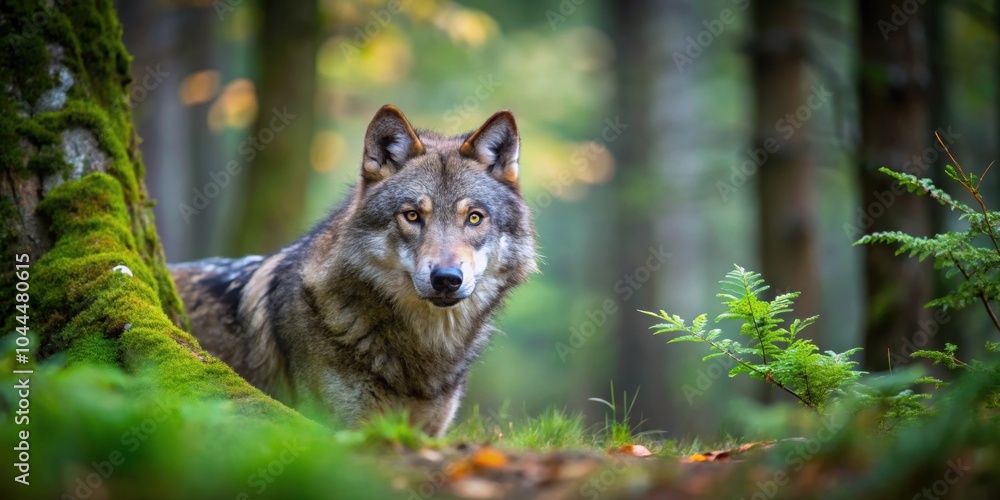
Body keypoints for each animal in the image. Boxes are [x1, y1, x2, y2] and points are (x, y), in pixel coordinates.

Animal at [170, 105, 537, 436]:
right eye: (412, 215)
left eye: (474, 217)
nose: (446, 279)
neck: (424, 350)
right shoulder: (342, 432)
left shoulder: (428, 434)